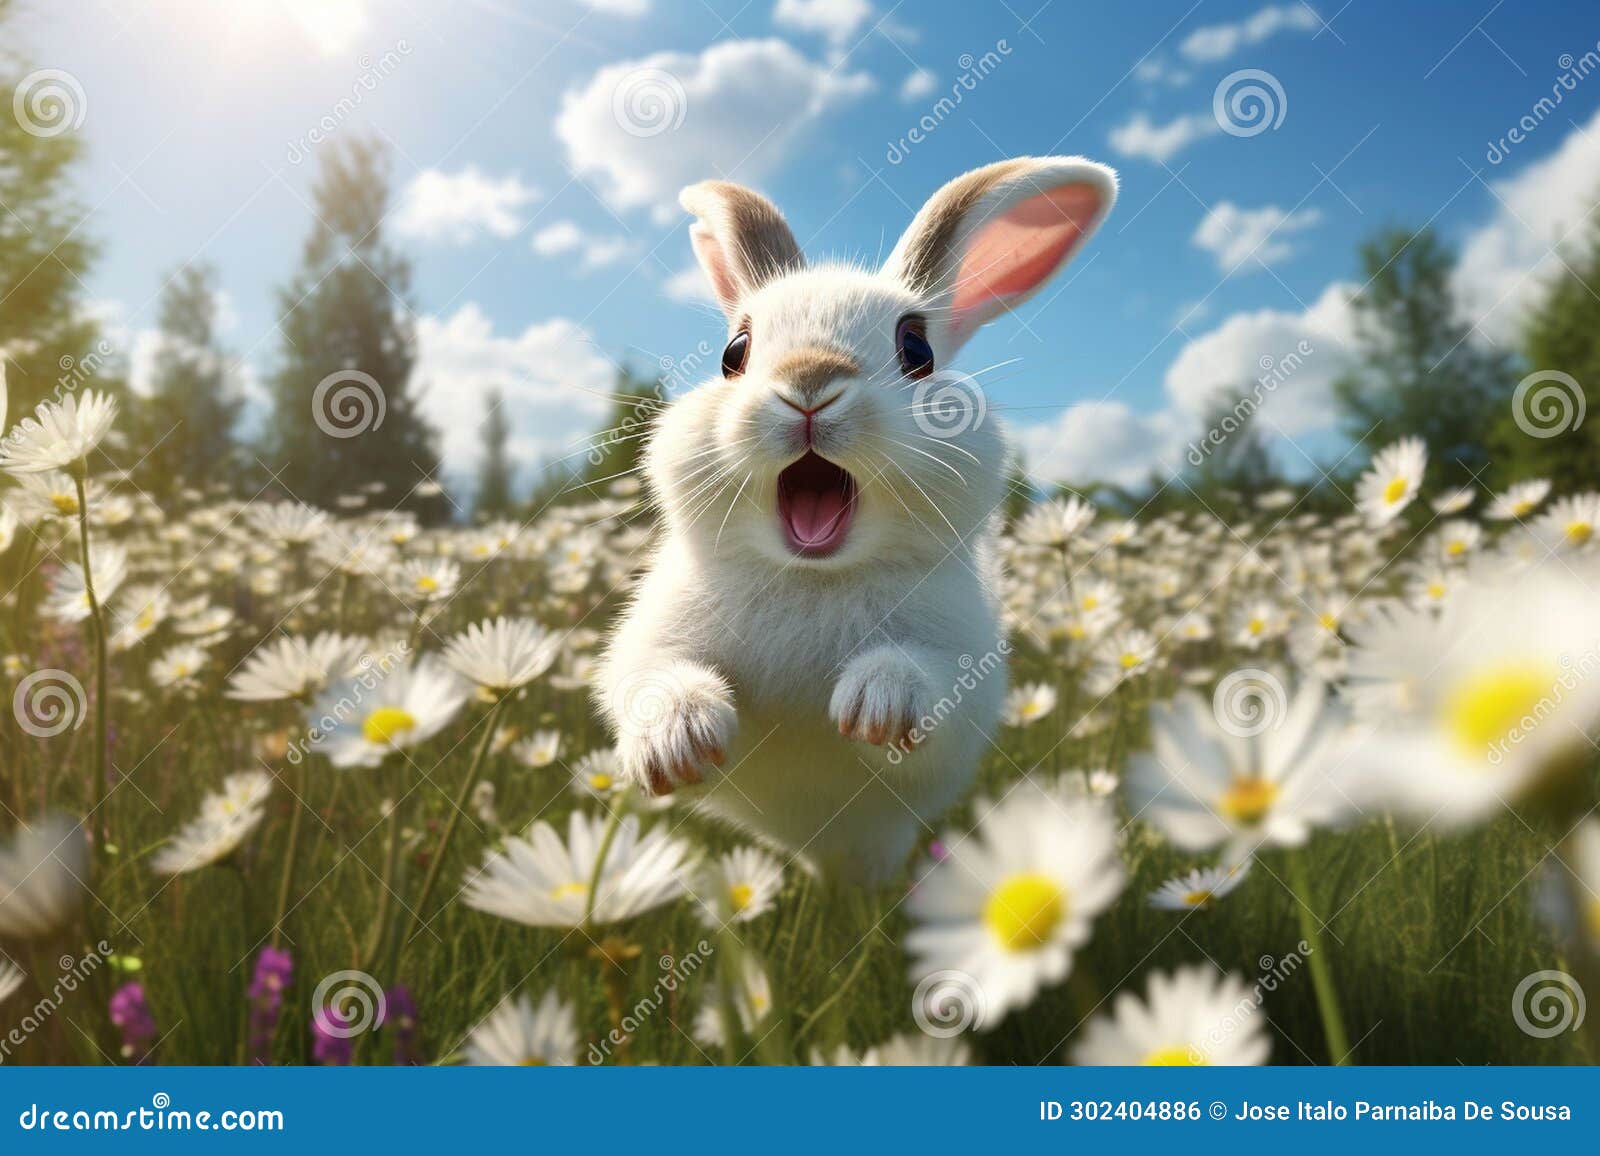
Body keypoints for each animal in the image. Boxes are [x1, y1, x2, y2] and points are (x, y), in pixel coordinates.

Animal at [596, 156, 1117, 884]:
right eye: (734, 352)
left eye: (916, 349)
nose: (809, 383)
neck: (813, 576)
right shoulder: (649, 644)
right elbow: (652, 678)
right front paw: (680, 741)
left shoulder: (961, 671)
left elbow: (924, 682)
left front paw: (874, 707)